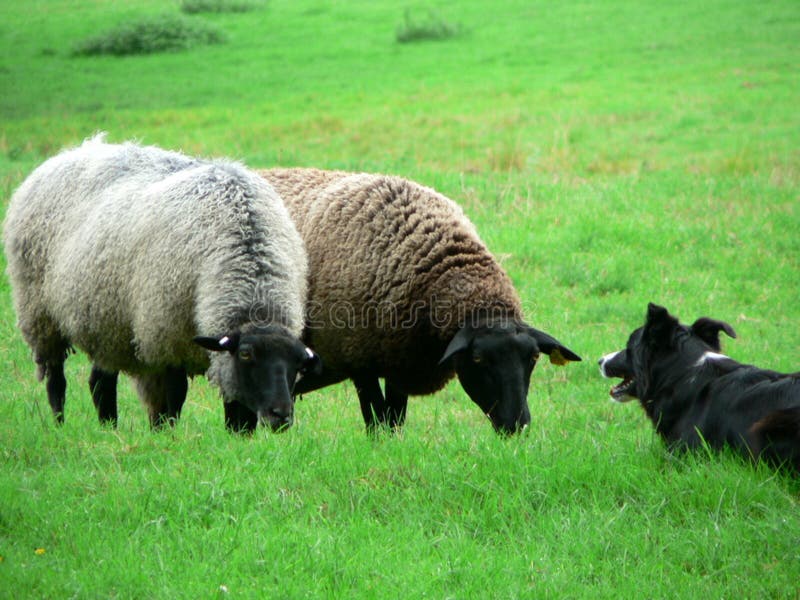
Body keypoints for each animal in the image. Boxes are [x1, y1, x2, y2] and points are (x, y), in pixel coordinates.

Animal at [3, 135, 319, 432]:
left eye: (298, 364)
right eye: (246, 354)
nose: (281, 415)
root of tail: (72, 151)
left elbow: (237, 408)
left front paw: (239, 438)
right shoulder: (164, 340)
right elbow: (173, 397)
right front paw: (165, 435)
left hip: (106, 321)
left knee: (100, 382)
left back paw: (110, 429)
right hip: (39, 313)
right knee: (56, 379)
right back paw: (59, 425)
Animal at [259, 168, 581, 434]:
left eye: (534, 357)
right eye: (478, 359)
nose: (517, 426)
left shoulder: (399, 362)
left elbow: (394, 420)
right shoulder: (359, 361)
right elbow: (377, 423)